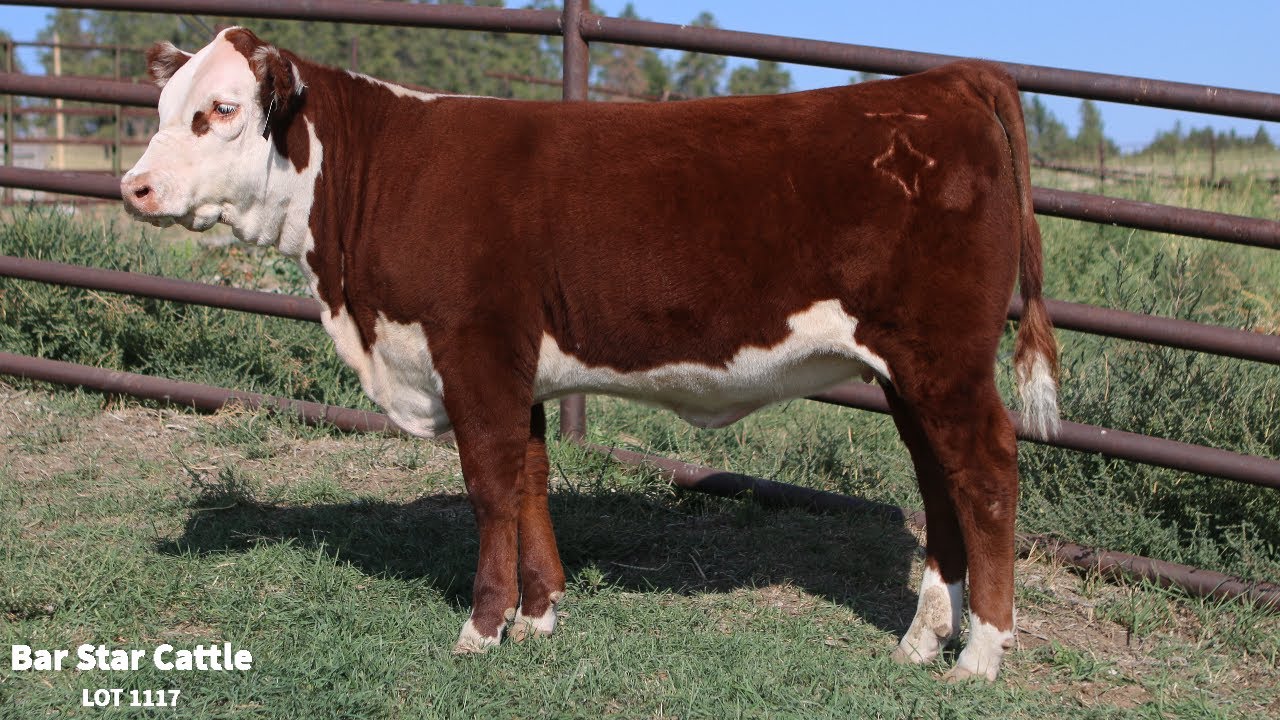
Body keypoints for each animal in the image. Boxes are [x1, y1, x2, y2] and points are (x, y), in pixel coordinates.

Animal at [121, 28, 1060, 682]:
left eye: (222, 110)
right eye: (163, 110)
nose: (133, 187)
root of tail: (944, 79)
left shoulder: (474, 350)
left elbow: (490, 488)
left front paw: (482, 628)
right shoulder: (522, 368)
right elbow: (531, 482)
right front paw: (540, 616)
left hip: (944, 357)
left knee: (986, 471)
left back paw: (982, 653)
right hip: (909, 371)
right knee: (939, 480)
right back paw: (923, 638)